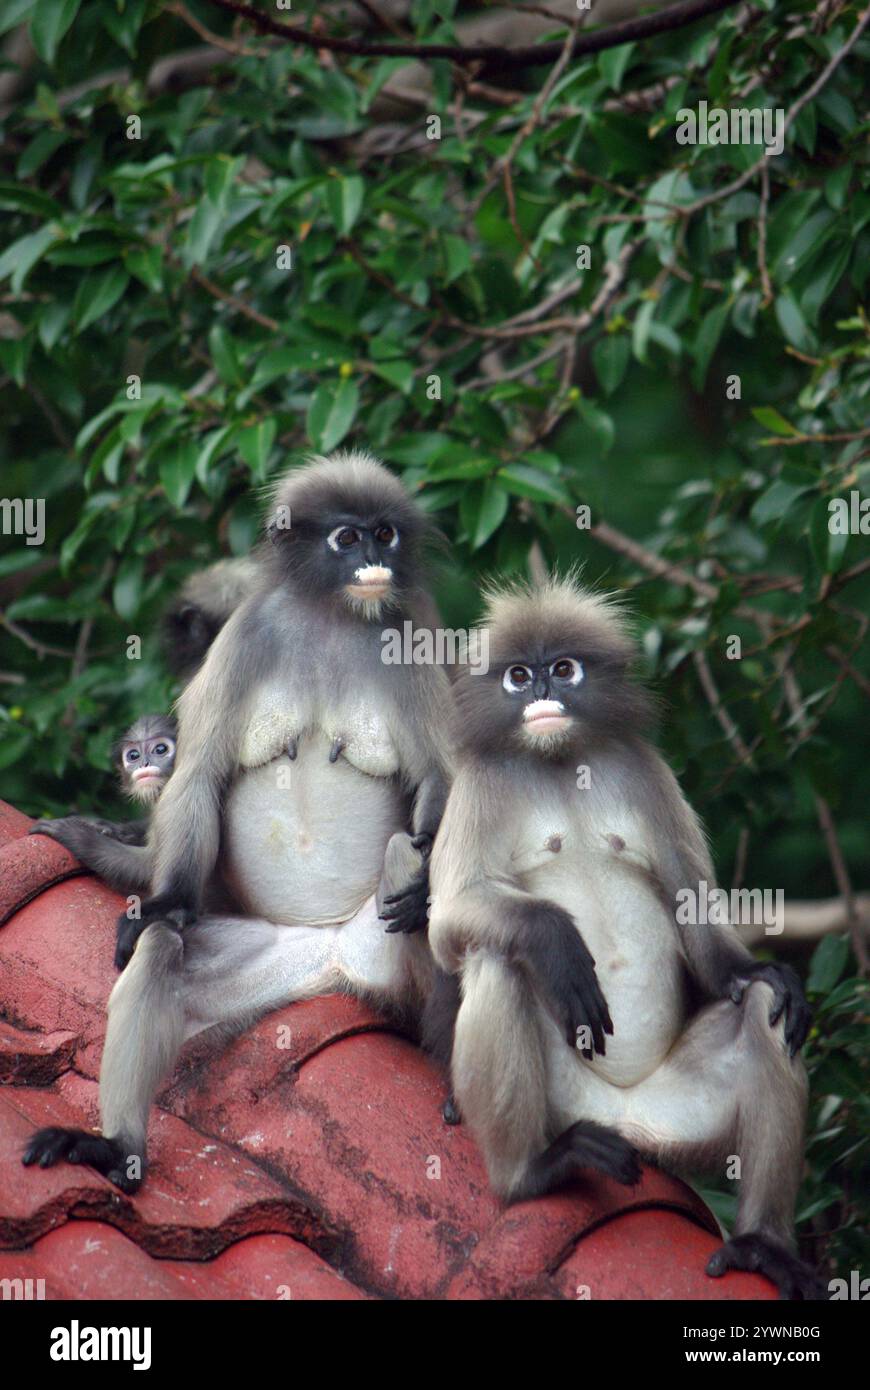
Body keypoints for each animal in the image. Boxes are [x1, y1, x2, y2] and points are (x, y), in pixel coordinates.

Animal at [29, 715, 178, 894]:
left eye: (161, 749)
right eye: (134, 755)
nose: (144, 763)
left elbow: (148, 869)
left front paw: (74, 833)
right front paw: (108, 828)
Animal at [425, 576, 822, 1299]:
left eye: (563, 669)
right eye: (518, 675)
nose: (540, 693)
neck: (561, 762)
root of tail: (624, 1117)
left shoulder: (643, 768)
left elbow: (696, 910)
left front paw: (751, 972)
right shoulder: (482, 780)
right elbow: (451, 924)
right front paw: (558, 943)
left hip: (680, 1121)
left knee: (765, 1013)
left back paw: (763, 1247)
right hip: (564, 1100)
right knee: (500, 958)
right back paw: (530, 1173)